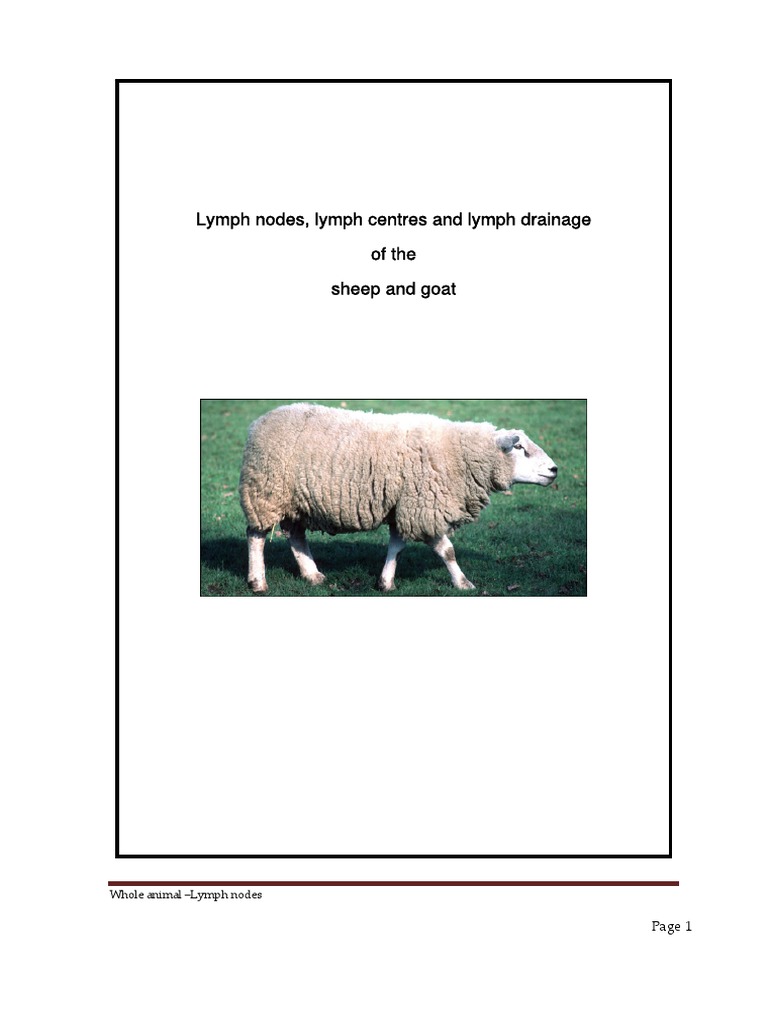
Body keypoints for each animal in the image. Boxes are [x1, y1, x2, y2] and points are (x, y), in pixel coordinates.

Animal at [238, 403, 558, 593]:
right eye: (520, 448)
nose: (554, 470)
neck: (458, 455)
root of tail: (259, 422)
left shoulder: (406, 506)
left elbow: (397, 547)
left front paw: (385, 582)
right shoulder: (424, 506)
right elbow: (447, 551)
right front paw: (464, 583)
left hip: (294, 501)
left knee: (295, 535)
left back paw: (312, 575)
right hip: (265, 492)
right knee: (256, 536)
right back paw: (258, 581)